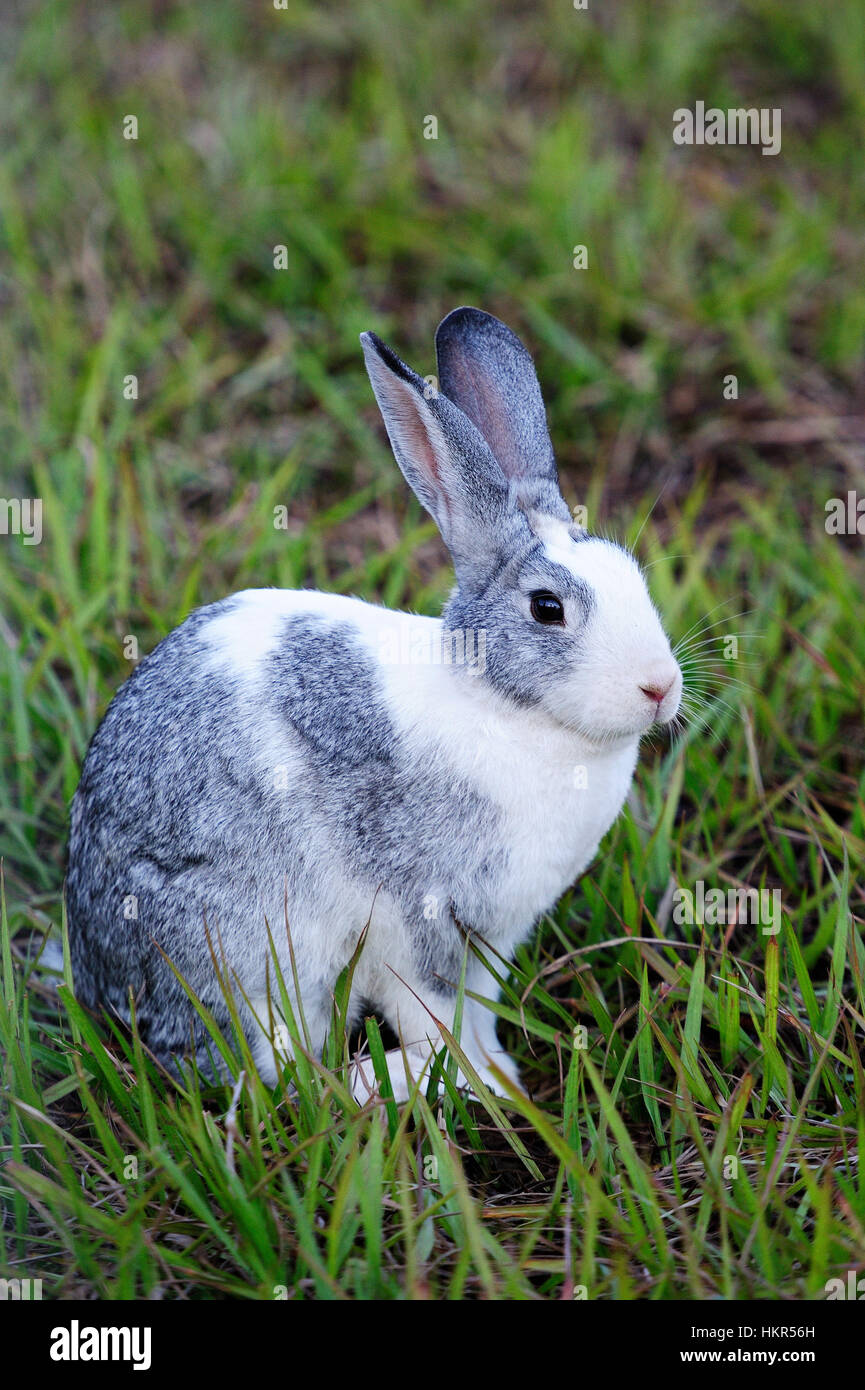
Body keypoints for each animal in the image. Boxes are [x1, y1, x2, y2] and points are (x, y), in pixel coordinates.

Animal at [66, 307, 682, 1103]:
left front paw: (496, 1074)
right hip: (250, 951)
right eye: (547, 608)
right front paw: (463, 1082)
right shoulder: (419, 919)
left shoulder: (491, 939)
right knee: (272, 1068)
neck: (501, 702)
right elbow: (432, 1010)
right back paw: (368, 1083)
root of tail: (99, 978)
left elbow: (475, 1010)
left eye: (634, 574)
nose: (660, 687)